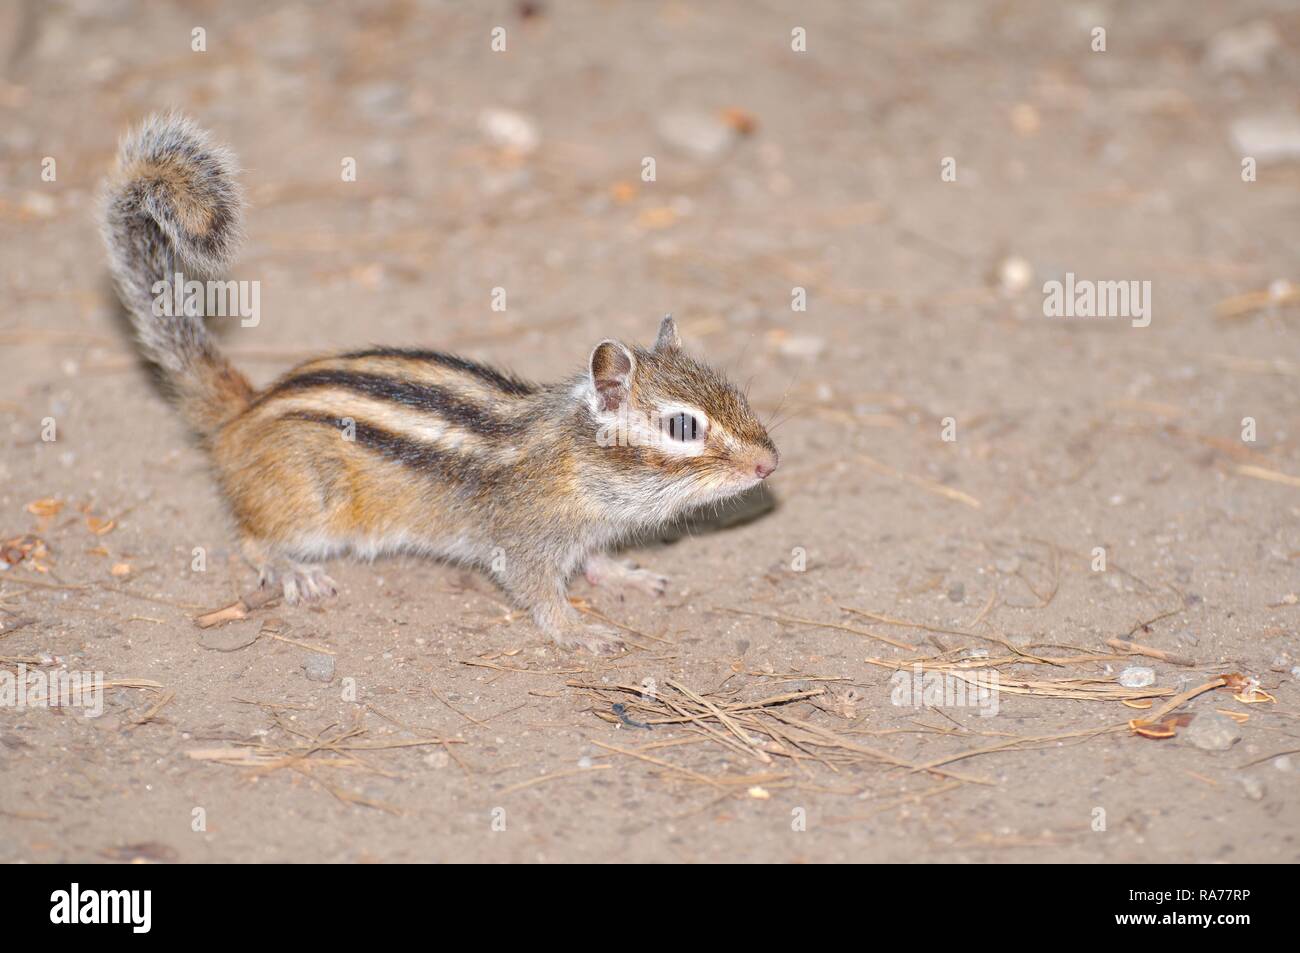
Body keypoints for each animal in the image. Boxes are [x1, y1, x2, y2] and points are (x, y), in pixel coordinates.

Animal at [100, 112, 779, 654]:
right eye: (684, 426)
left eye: (736, 394)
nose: (769, 464)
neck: (574, 462)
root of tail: (243, 412)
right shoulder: (524, 543)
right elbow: (540, 594)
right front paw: (578, 631)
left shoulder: (582, 534)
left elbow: (592, 560)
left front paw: (621, 573)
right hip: (306, 502)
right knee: (250, 539)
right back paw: (291, 569)